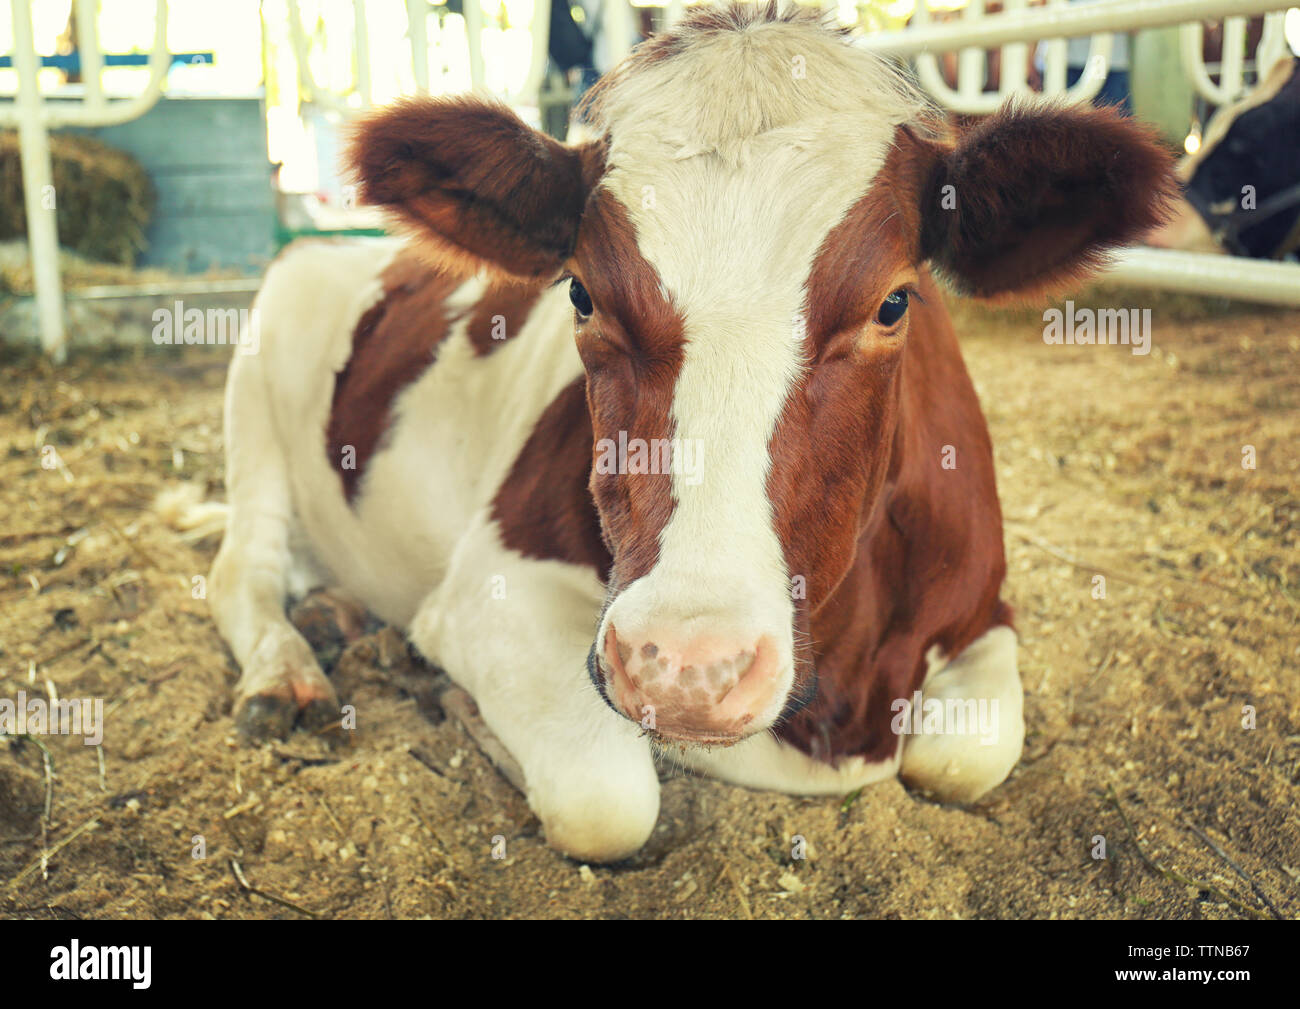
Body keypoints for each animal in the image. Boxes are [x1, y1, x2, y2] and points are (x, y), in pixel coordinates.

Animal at [205, 2, 1174, 862]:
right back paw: (286, 671)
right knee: (242, 570)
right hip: (253, 393)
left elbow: (966, 757)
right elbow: (607, 798)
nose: (685, 666)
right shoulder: (492, 586)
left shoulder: (984, 605)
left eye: (896, 301)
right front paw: (465, 712)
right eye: (581, 292)